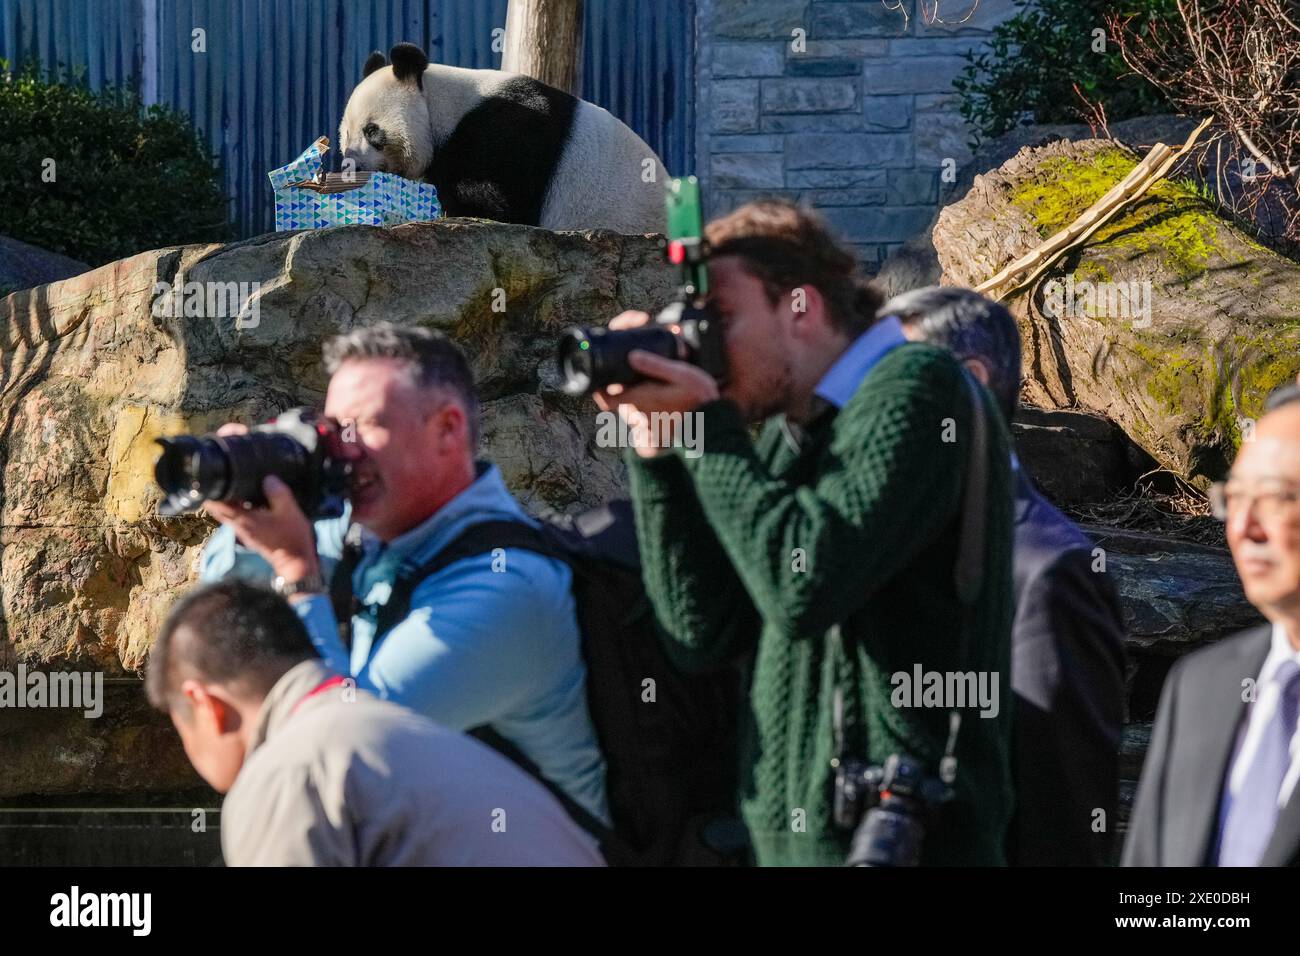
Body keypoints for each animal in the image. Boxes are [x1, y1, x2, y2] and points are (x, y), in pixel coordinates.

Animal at [338, 43, 669, 234]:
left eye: (372, 130)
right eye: (345, 134)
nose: (350, 165)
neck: (443, 106)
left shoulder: (505, 133)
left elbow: (497, 201)